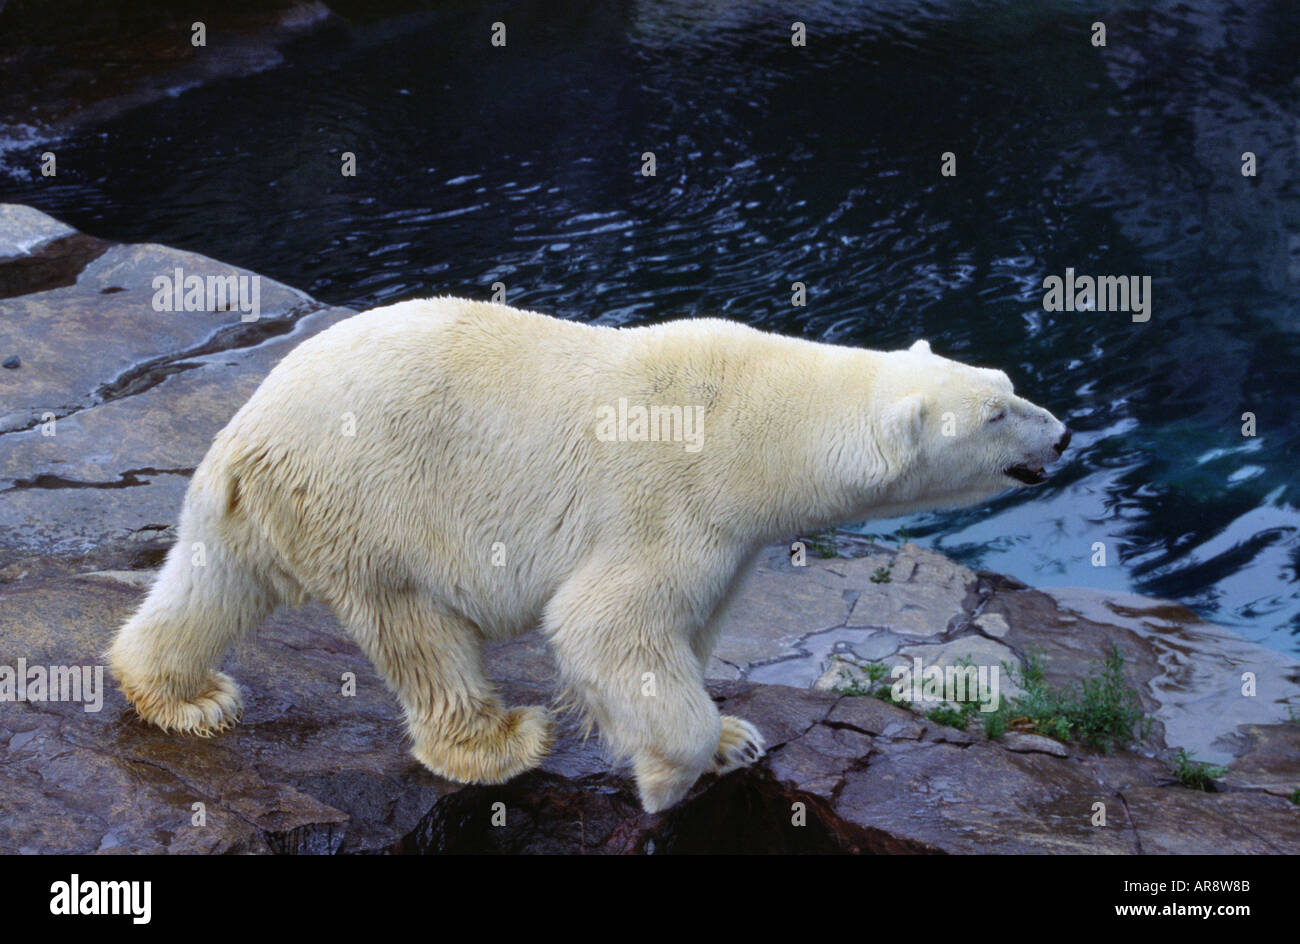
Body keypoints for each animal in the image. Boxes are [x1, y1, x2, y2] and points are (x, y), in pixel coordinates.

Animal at [107, 297, 1070, 812]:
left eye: (1007, 385)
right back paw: (500, 740)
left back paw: (183, 696)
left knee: (210, 581)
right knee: (420, 630)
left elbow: (689, 628)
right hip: (375, 497)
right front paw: (669, 775)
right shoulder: (670, 500)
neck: (754, 421)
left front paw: (733, 737)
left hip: (273, 505)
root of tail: (248, 430)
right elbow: (608, 626)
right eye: (998, 413)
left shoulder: (731, 540)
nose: (1062, 435)